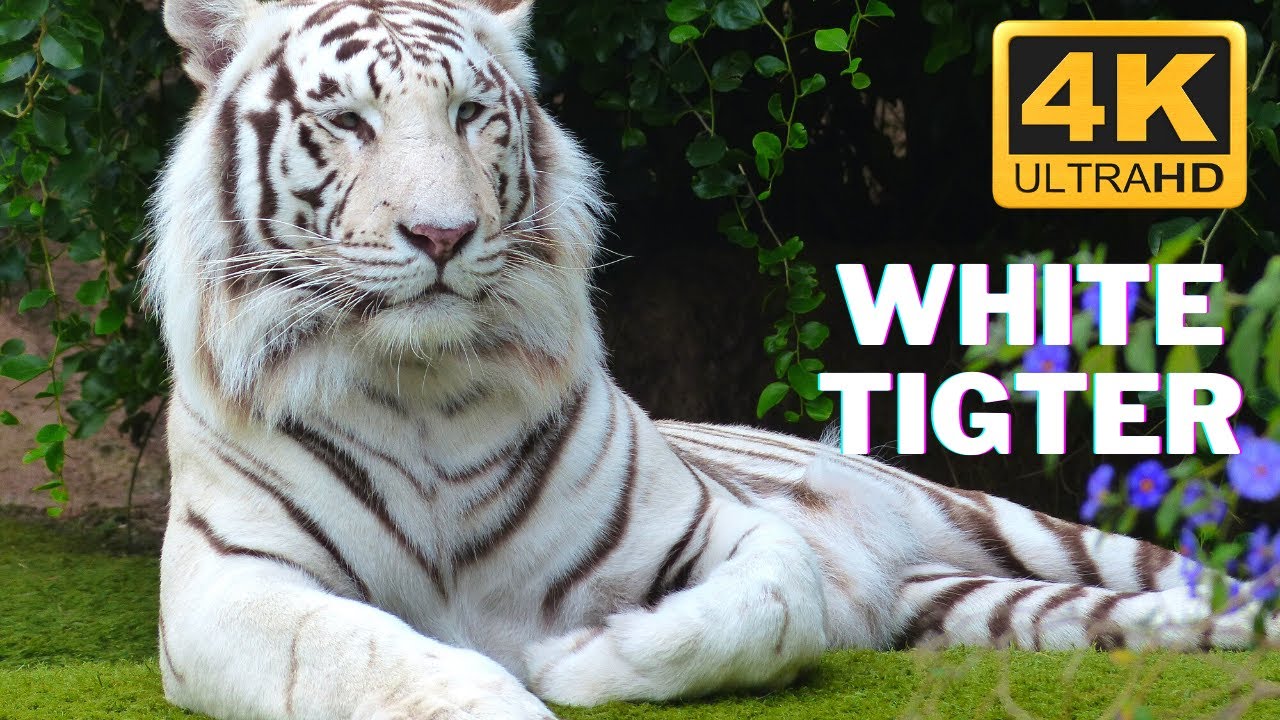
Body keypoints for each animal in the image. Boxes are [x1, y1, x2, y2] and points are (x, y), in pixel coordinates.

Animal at [145, 0, 1278, 718]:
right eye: (347, 121)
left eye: (470, 114)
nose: (441, 232)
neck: (424, 387)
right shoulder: (223, 587)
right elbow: (358, 651)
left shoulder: (723, 528)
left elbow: (768, 607)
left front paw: (574, 661)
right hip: (973, 608)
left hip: (998, 521)